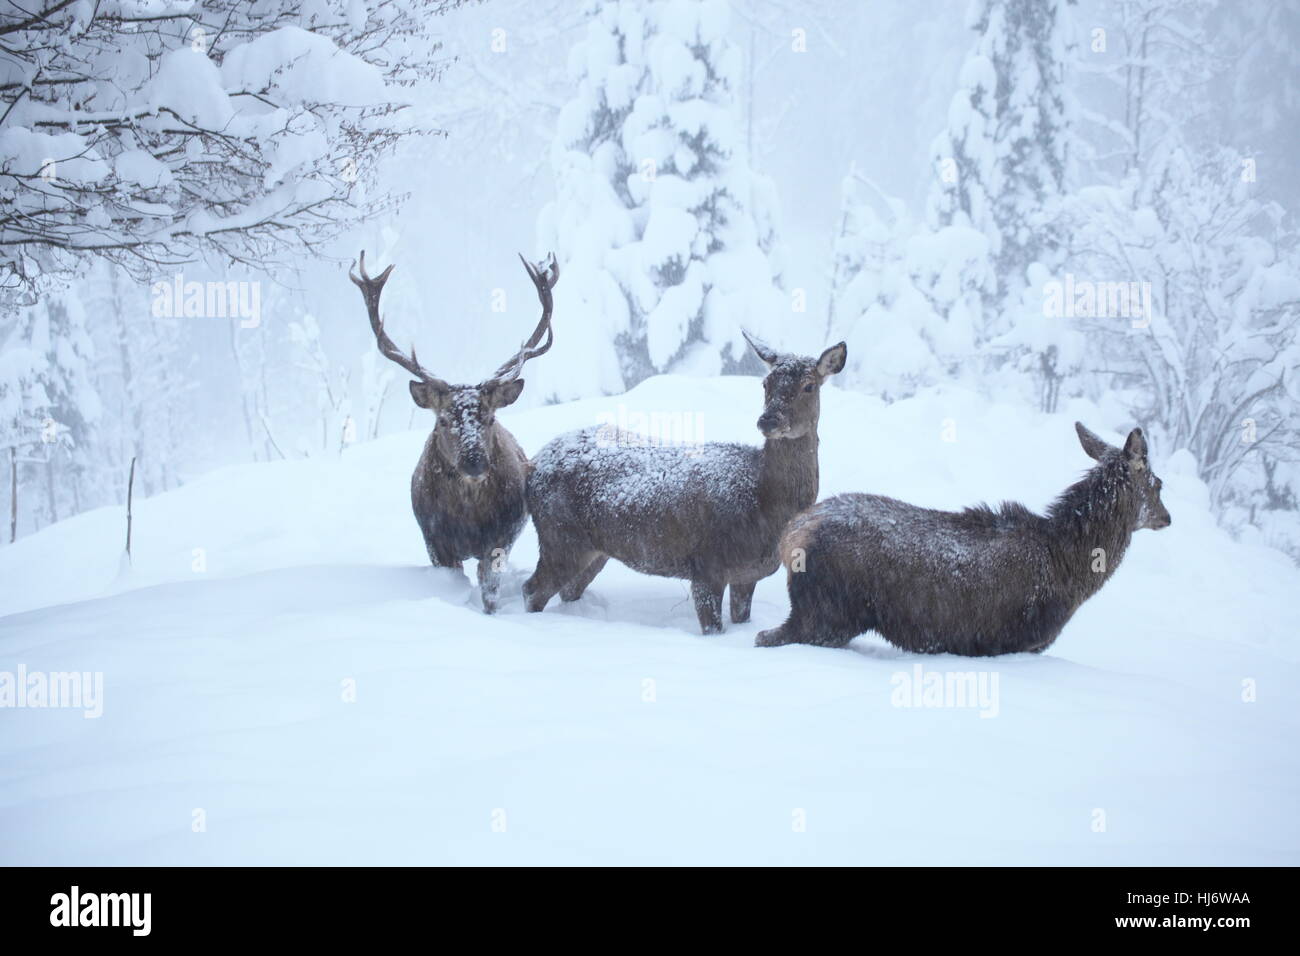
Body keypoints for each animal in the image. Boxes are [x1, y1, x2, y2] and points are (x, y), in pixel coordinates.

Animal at [349, 250, 559, 613]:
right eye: (444, 420)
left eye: (489, 418)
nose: (474, 462)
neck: (468, 518)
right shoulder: (434, 541)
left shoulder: (500, 538)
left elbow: (490, 592)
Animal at [523, 333, 847, 634]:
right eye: (766, 383)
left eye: (809, 385)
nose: (768, 420)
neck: (762, 501)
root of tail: (534, 464)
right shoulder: (706, 565)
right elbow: (713, 627)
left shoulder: (747, 574)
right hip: (560, 534)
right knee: (532, 590)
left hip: (593, 549)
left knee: (567, 591)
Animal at [755, 422, 1172, 655]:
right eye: (1159, 483)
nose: (1167, 517)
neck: (1072, 570)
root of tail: (792, 534)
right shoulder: (1014, 643)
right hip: (826, 612)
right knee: (767, 636)